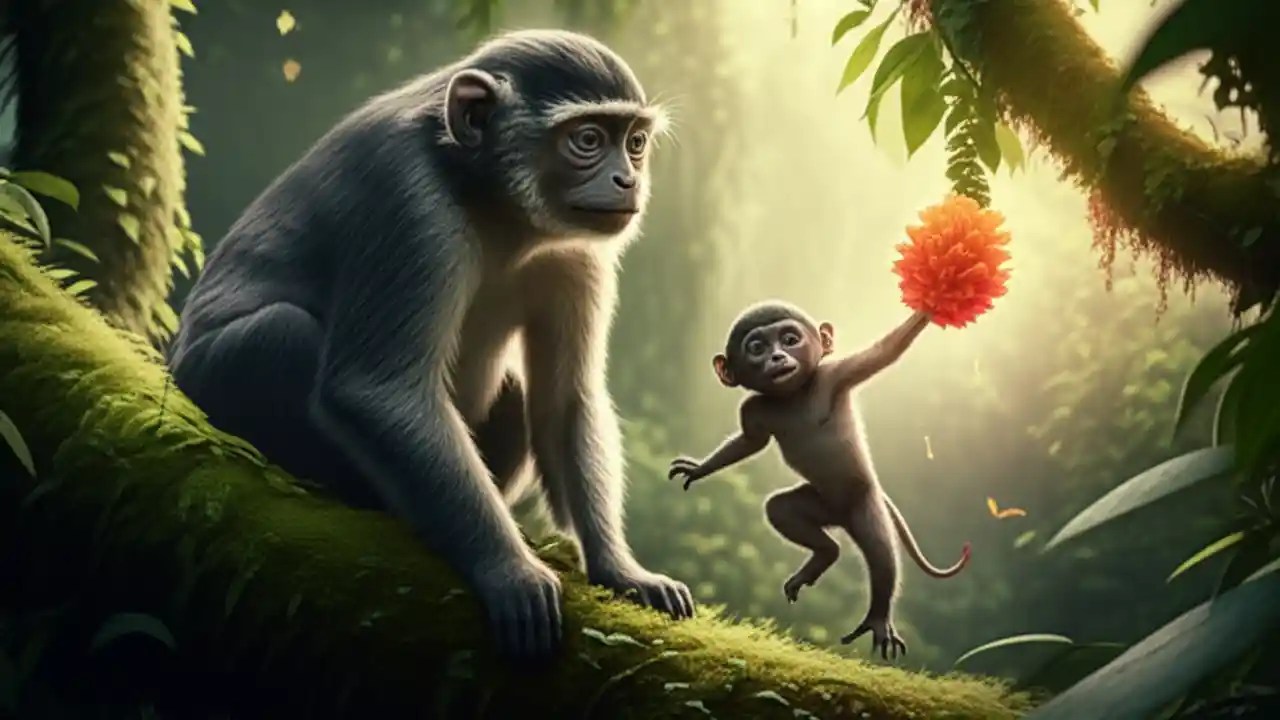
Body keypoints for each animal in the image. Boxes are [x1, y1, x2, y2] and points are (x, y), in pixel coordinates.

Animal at [166, 29, 694, 661]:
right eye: (588, 140)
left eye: (634, 143)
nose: (627, 179)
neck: (492, 200)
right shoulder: (406, 198)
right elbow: (375, 390)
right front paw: (509, 569)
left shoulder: (575, 252)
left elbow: (565, 400)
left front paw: (620, 568)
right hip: (208, 376)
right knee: (283, 333)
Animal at [667, 301, 970, 660]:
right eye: (756, 348)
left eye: (790, 339)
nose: (777, 357)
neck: (793, 394)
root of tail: (841, 518)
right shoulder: (751, 408)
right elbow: (749, 442)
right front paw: (698, 469)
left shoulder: (833, 374)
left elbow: (884, 352)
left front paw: (929, 309)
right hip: (819, 503)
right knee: (780, 510)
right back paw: (825, 554)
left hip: (863, 502)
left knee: (880, 552)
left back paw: (878, 618)